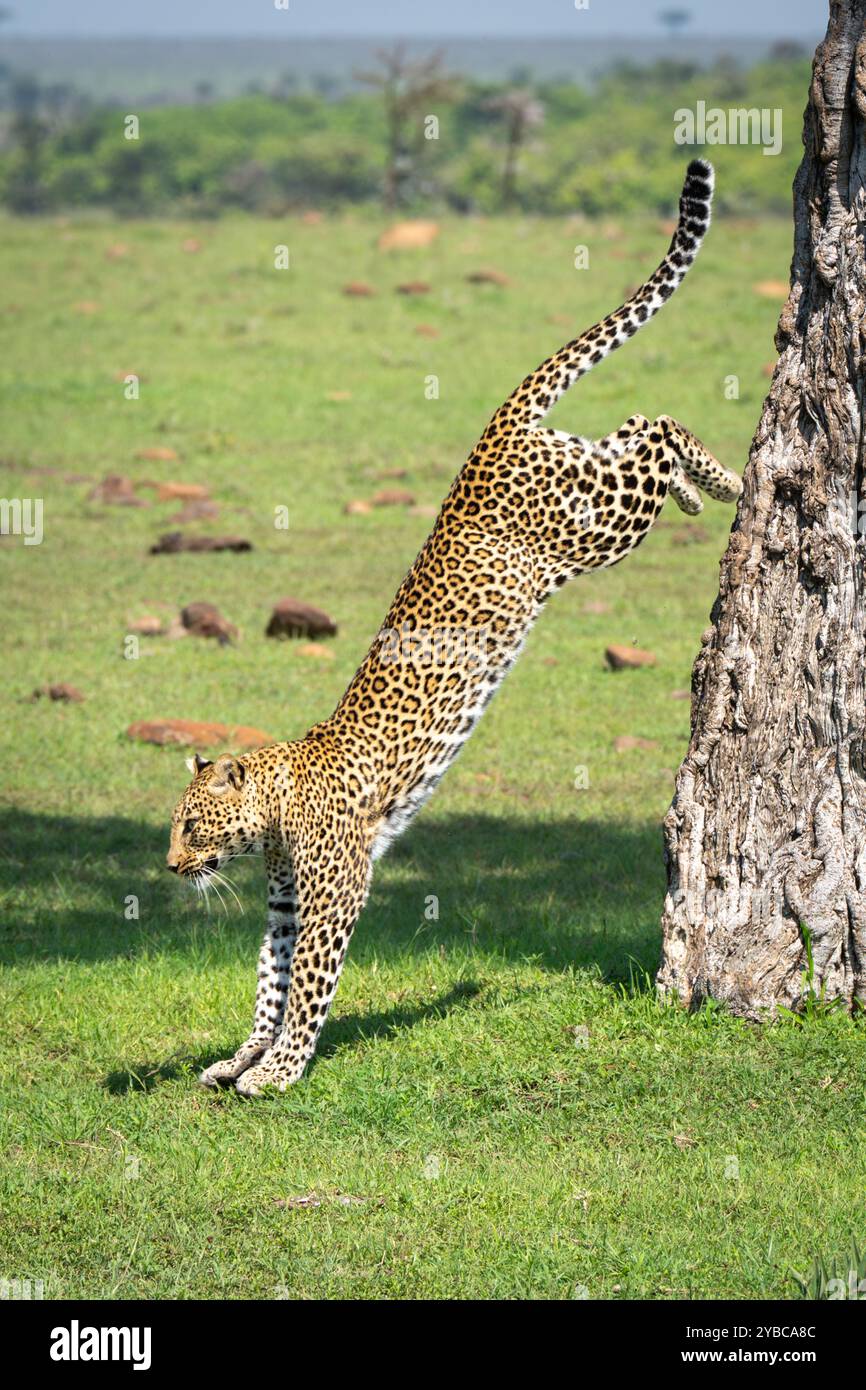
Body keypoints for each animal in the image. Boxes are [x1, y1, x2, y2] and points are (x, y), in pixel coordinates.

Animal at [166, 159, 741, 1095]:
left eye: (189, 825)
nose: (171, 867)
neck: (277, 807)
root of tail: (486, 440)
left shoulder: (336, 891)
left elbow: (306, 987)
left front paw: (280, 1071)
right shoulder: (287, 902)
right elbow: (267, 981)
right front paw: (240, 1058)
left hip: (595, 526)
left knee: (655, 427)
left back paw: (726, 482)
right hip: (589, 481)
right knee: (633, 424)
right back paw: (705, 489)